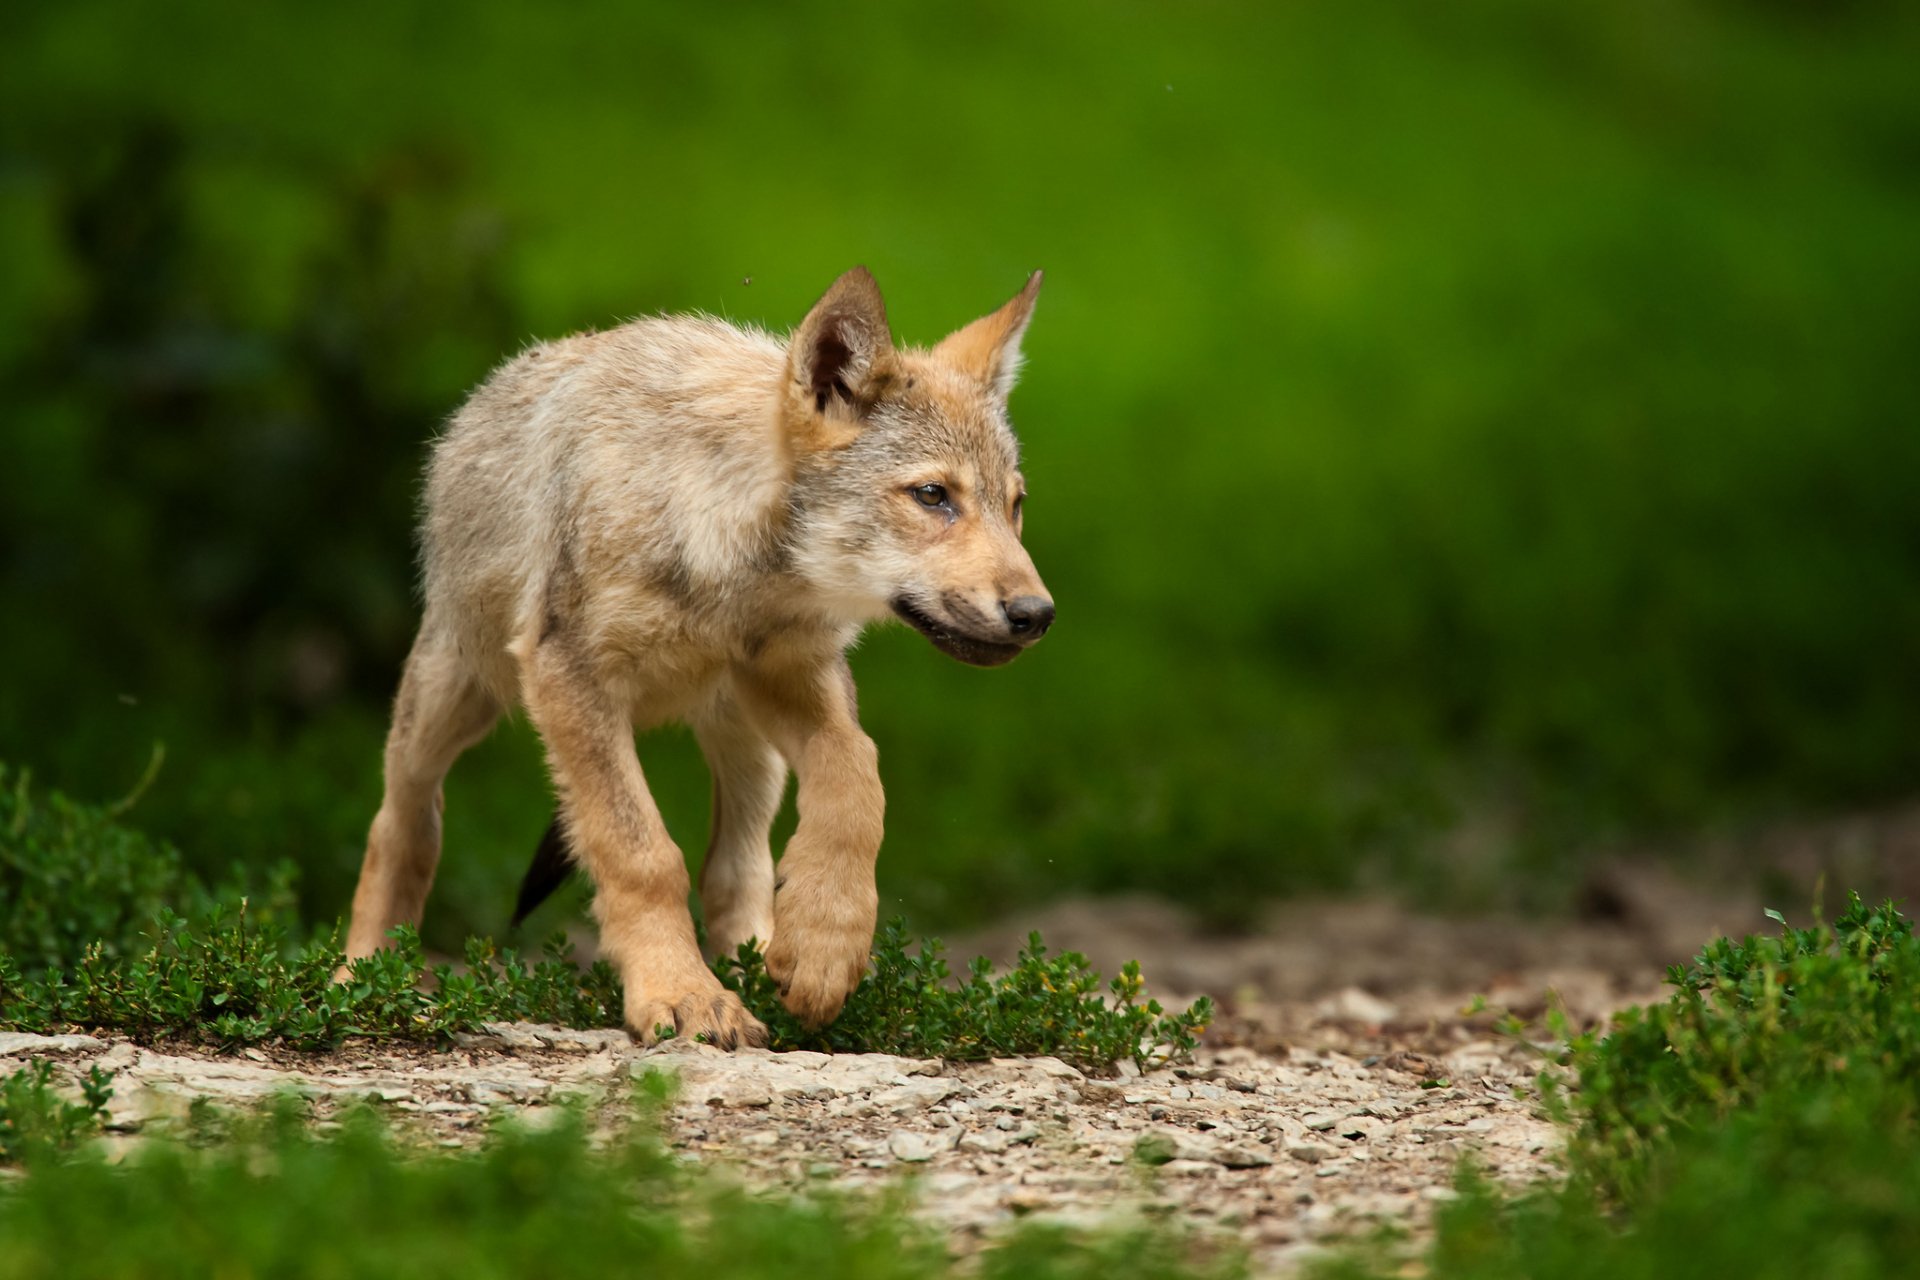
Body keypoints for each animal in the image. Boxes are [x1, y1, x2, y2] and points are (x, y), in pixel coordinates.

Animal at [339, 267, 1054, 1048]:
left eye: (1015, 506)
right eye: (933, 495)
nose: (1037, 615)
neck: (725, 560)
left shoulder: (792, 671)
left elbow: (858, 775)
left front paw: (822, 946)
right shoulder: (570, 681)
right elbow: (642, 854)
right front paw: (682, 994)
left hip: (748, 747)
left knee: (736, 868)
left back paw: (761, 959)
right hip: (452, 699)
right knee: (402, 825)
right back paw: (364, 976)